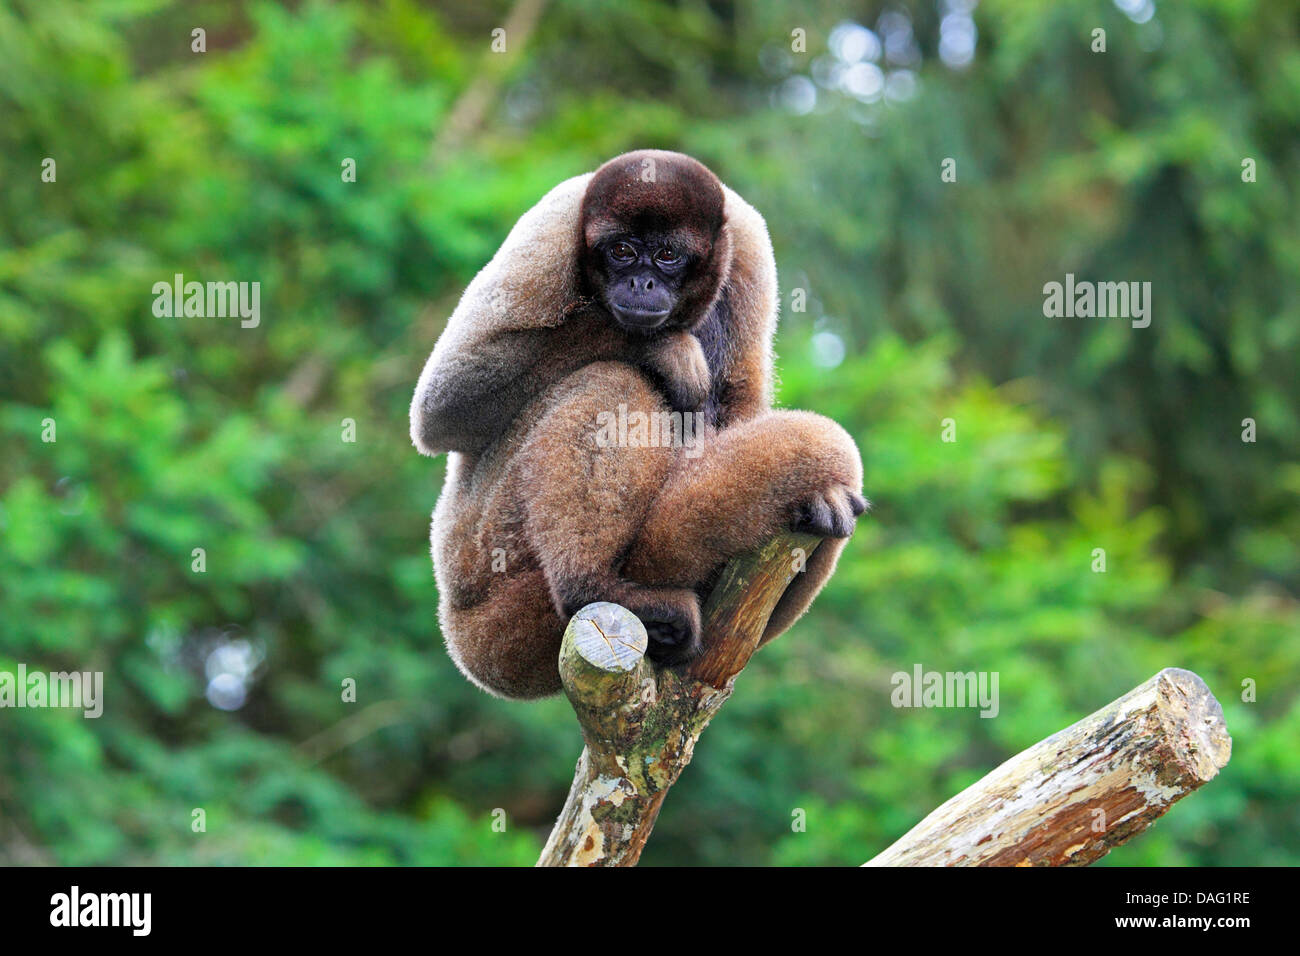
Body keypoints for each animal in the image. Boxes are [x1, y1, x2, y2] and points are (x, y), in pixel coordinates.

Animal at [411, 150, 866, 699]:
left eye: (667, 255)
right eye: (622, 251)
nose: (641, 283)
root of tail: (456, 624)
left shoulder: (749, 243)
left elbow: (740, 401)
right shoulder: (553, 227)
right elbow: (442, 408)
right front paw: (664, 348)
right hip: (484, 553)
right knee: (613, 380)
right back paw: (591, 585)